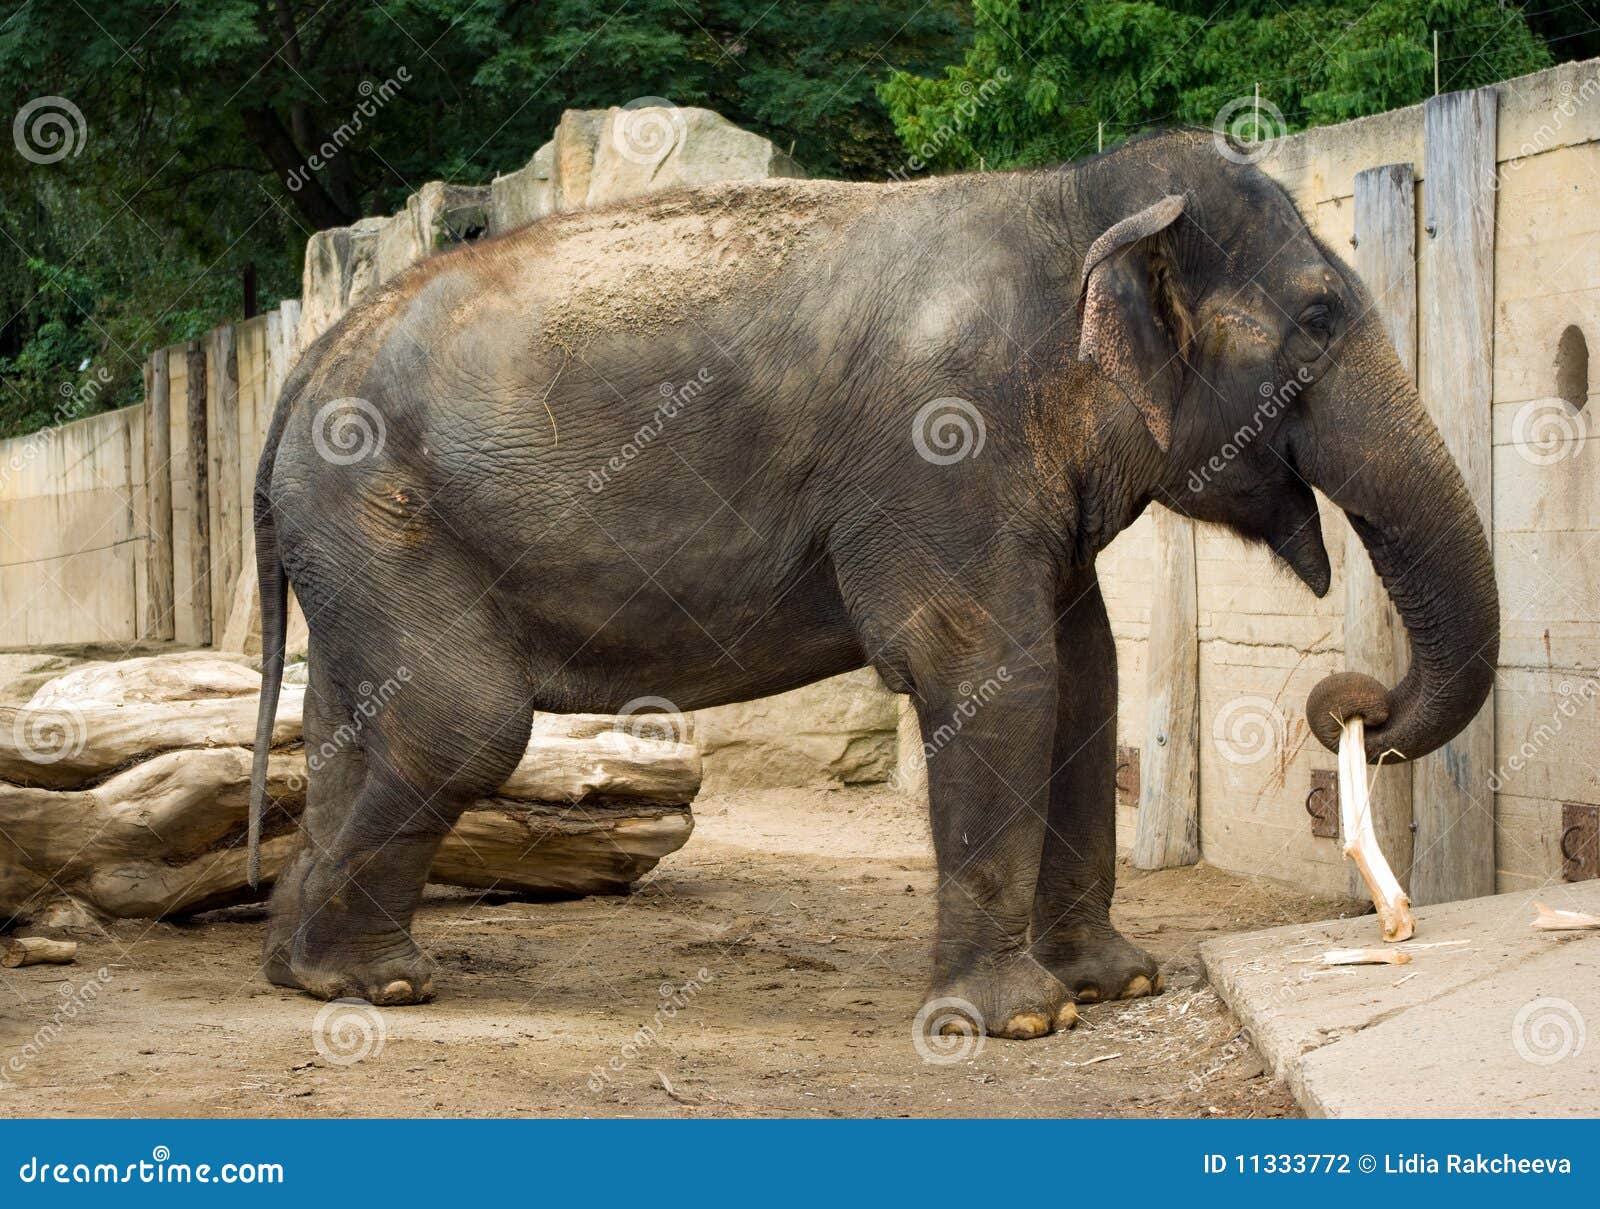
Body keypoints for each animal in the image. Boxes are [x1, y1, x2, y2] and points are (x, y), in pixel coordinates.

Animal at [248, 128, 1497, 1040]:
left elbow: (1082, 676)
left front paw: (1117, 986)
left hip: (354, 539)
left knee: (356, 722)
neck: (1064, 200)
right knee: (460, 721)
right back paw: (376, 985)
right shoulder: (941, 440)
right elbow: (991, 670)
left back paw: (297, 969)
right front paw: (1019, 1023)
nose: (1352, 705)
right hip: (381, 516)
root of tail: (303, 363)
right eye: (1317, 320)